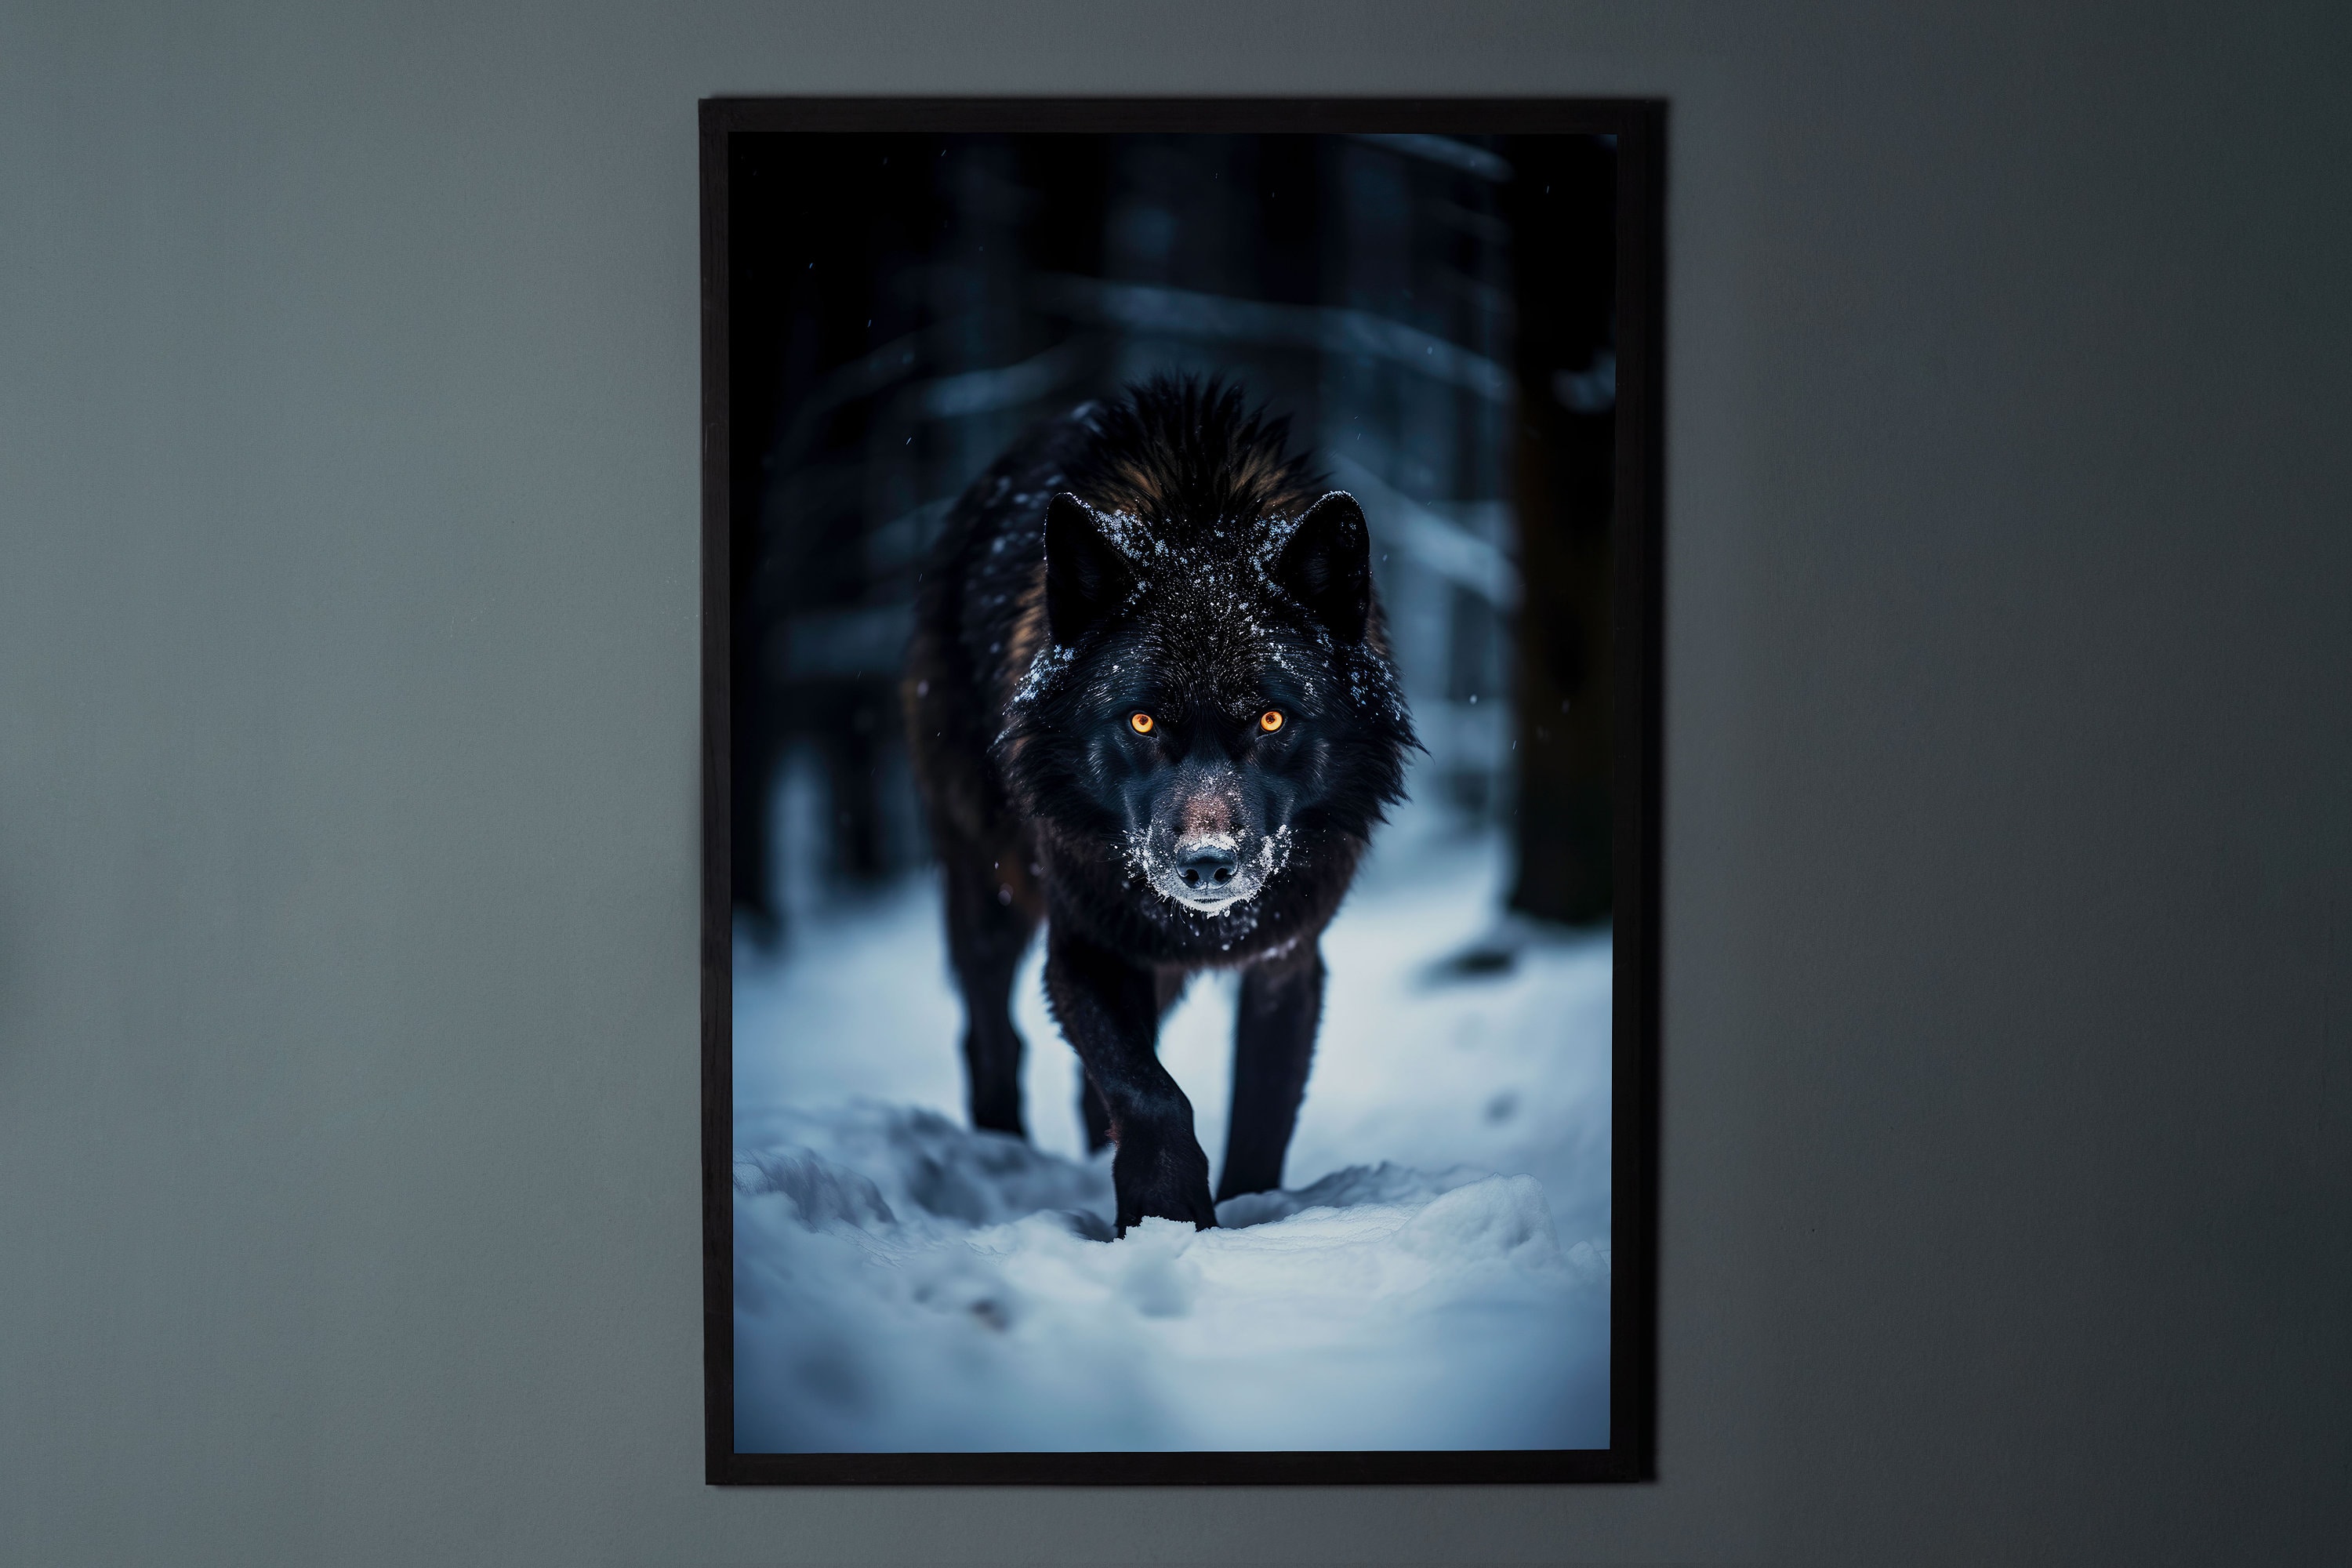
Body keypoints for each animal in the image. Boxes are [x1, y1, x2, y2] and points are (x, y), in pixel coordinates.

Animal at [904, 376, 1415, 1232]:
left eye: (1270, 719)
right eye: (1142, 721)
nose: (1207, 865)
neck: (1196, 503)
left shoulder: (1286, 961)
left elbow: (1261, 1114)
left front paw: (1247, 1217)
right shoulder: (1087, 942)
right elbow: (1151, 1092)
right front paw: (1167, 1215)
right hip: (988, 882)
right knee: (990, 1031)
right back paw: (1003, 1150)